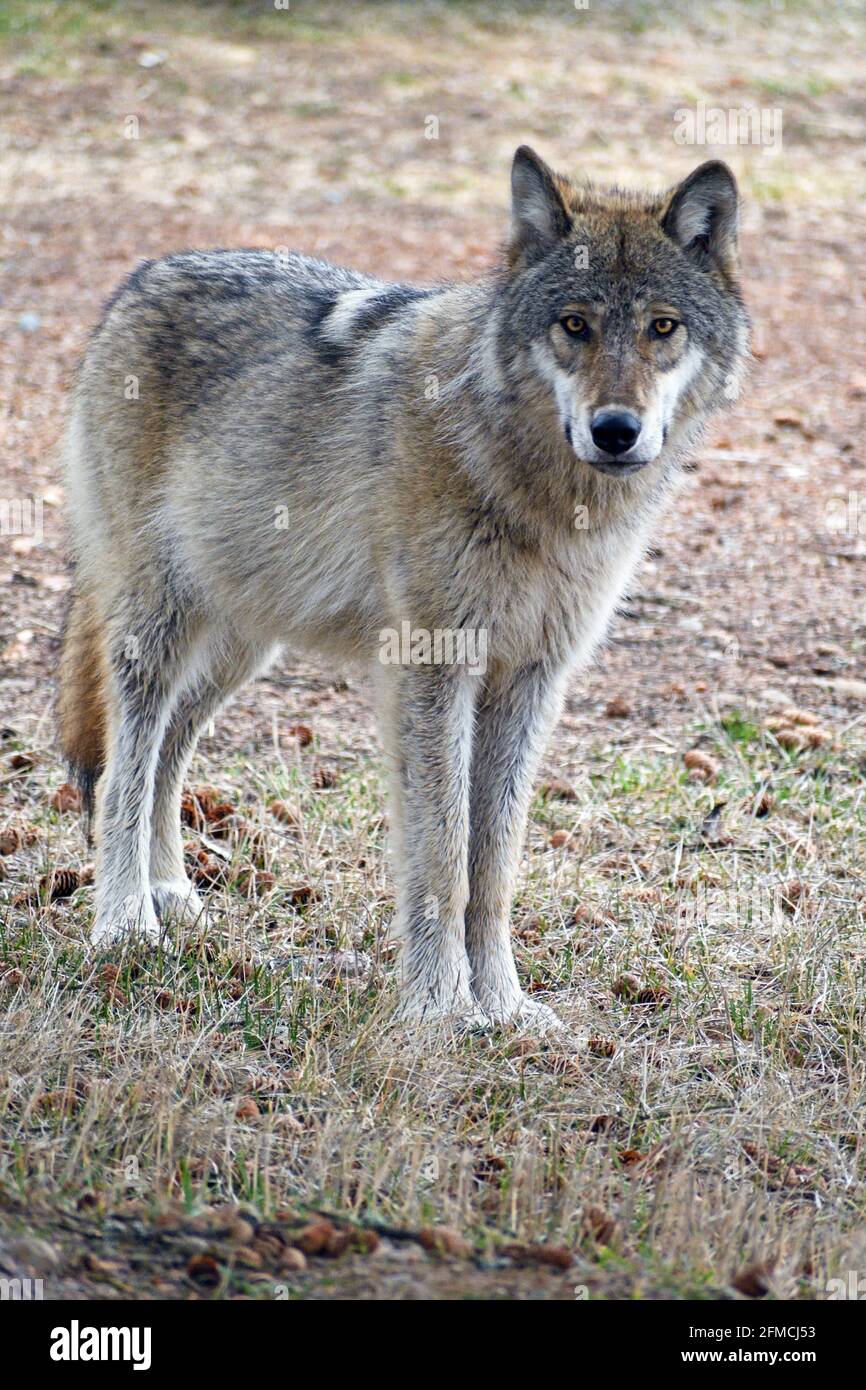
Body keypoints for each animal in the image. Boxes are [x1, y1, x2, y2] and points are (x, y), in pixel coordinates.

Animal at [58, 147, 748, 1035]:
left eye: (663, 327)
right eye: (575, 325)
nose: (616, 431)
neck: (538, 493)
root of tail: (138, 280)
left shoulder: (531, 681)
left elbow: (495, 867)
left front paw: (505, 1007)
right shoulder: (433, 669)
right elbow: (444, 857)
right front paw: (441, 1008)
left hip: (240, 647)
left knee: (169, 756)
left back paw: (172, 896)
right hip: (161, 629)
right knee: (123, 769)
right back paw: (125, 925)